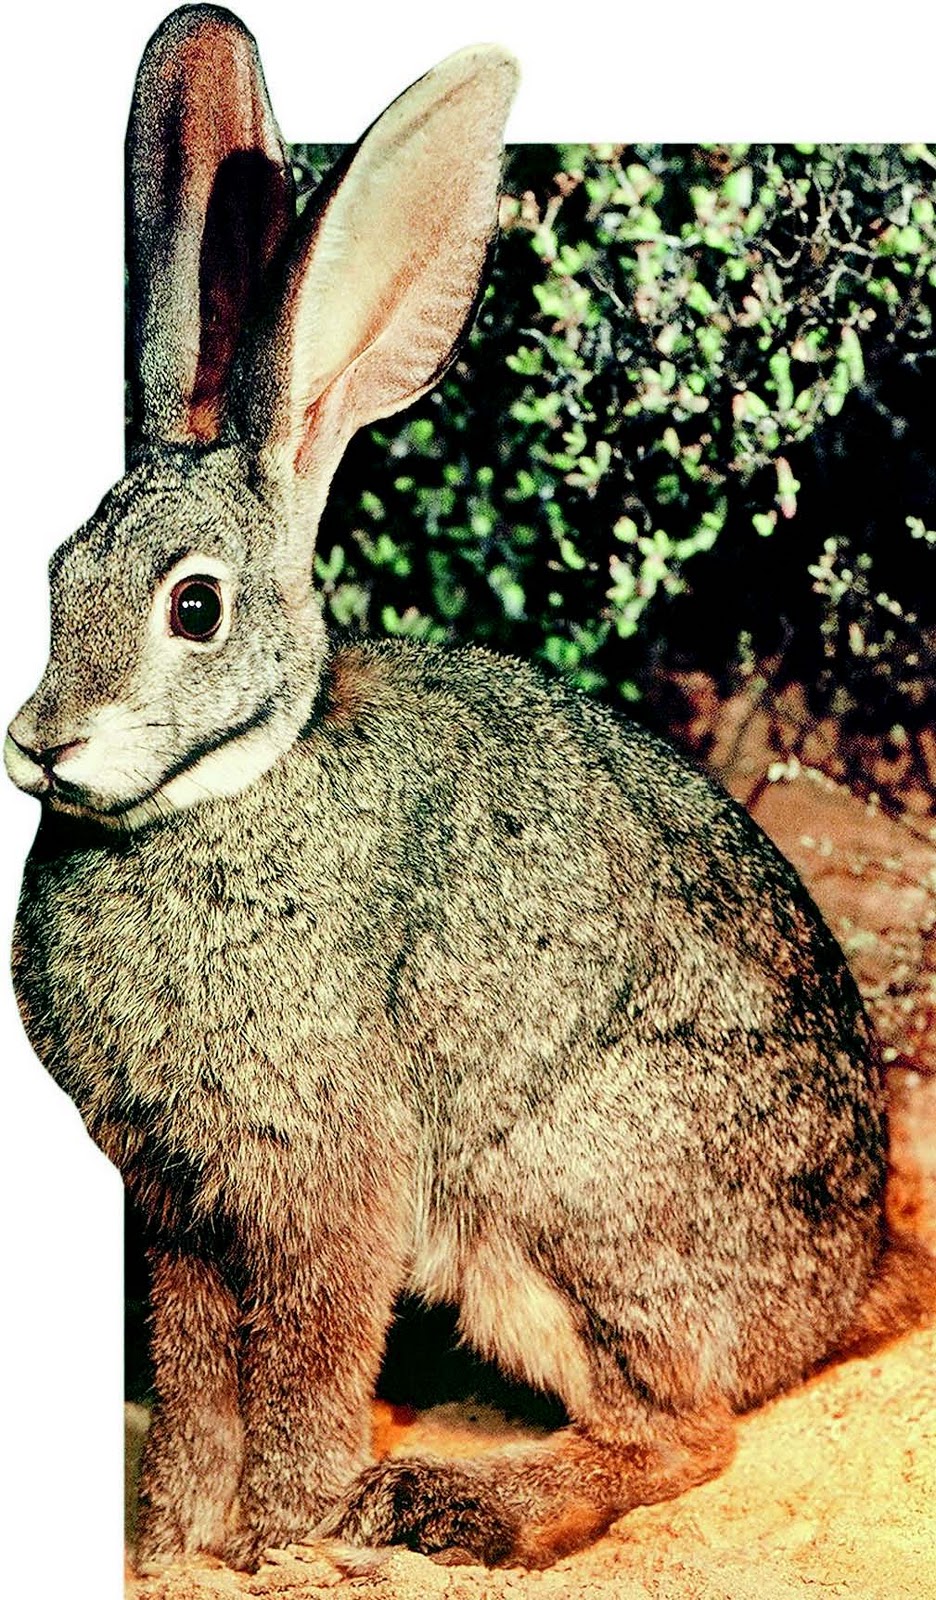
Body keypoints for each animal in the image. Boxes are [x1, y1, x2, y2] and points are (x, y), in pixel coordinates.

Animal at [5, 1, 930, 1576]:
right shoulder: (178, 1206)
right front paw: (180, 1543)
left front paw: (293, 1537)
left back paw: (459, 1504)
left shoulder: (331, 1176)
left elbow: (304, 1367)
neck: (225, 790)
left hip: (558, 1201)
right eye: (57, 572)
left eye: (194, 608)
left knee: (686, 1431)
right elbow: (193, 1383)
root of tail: (839, 1285)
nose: (39, 743)